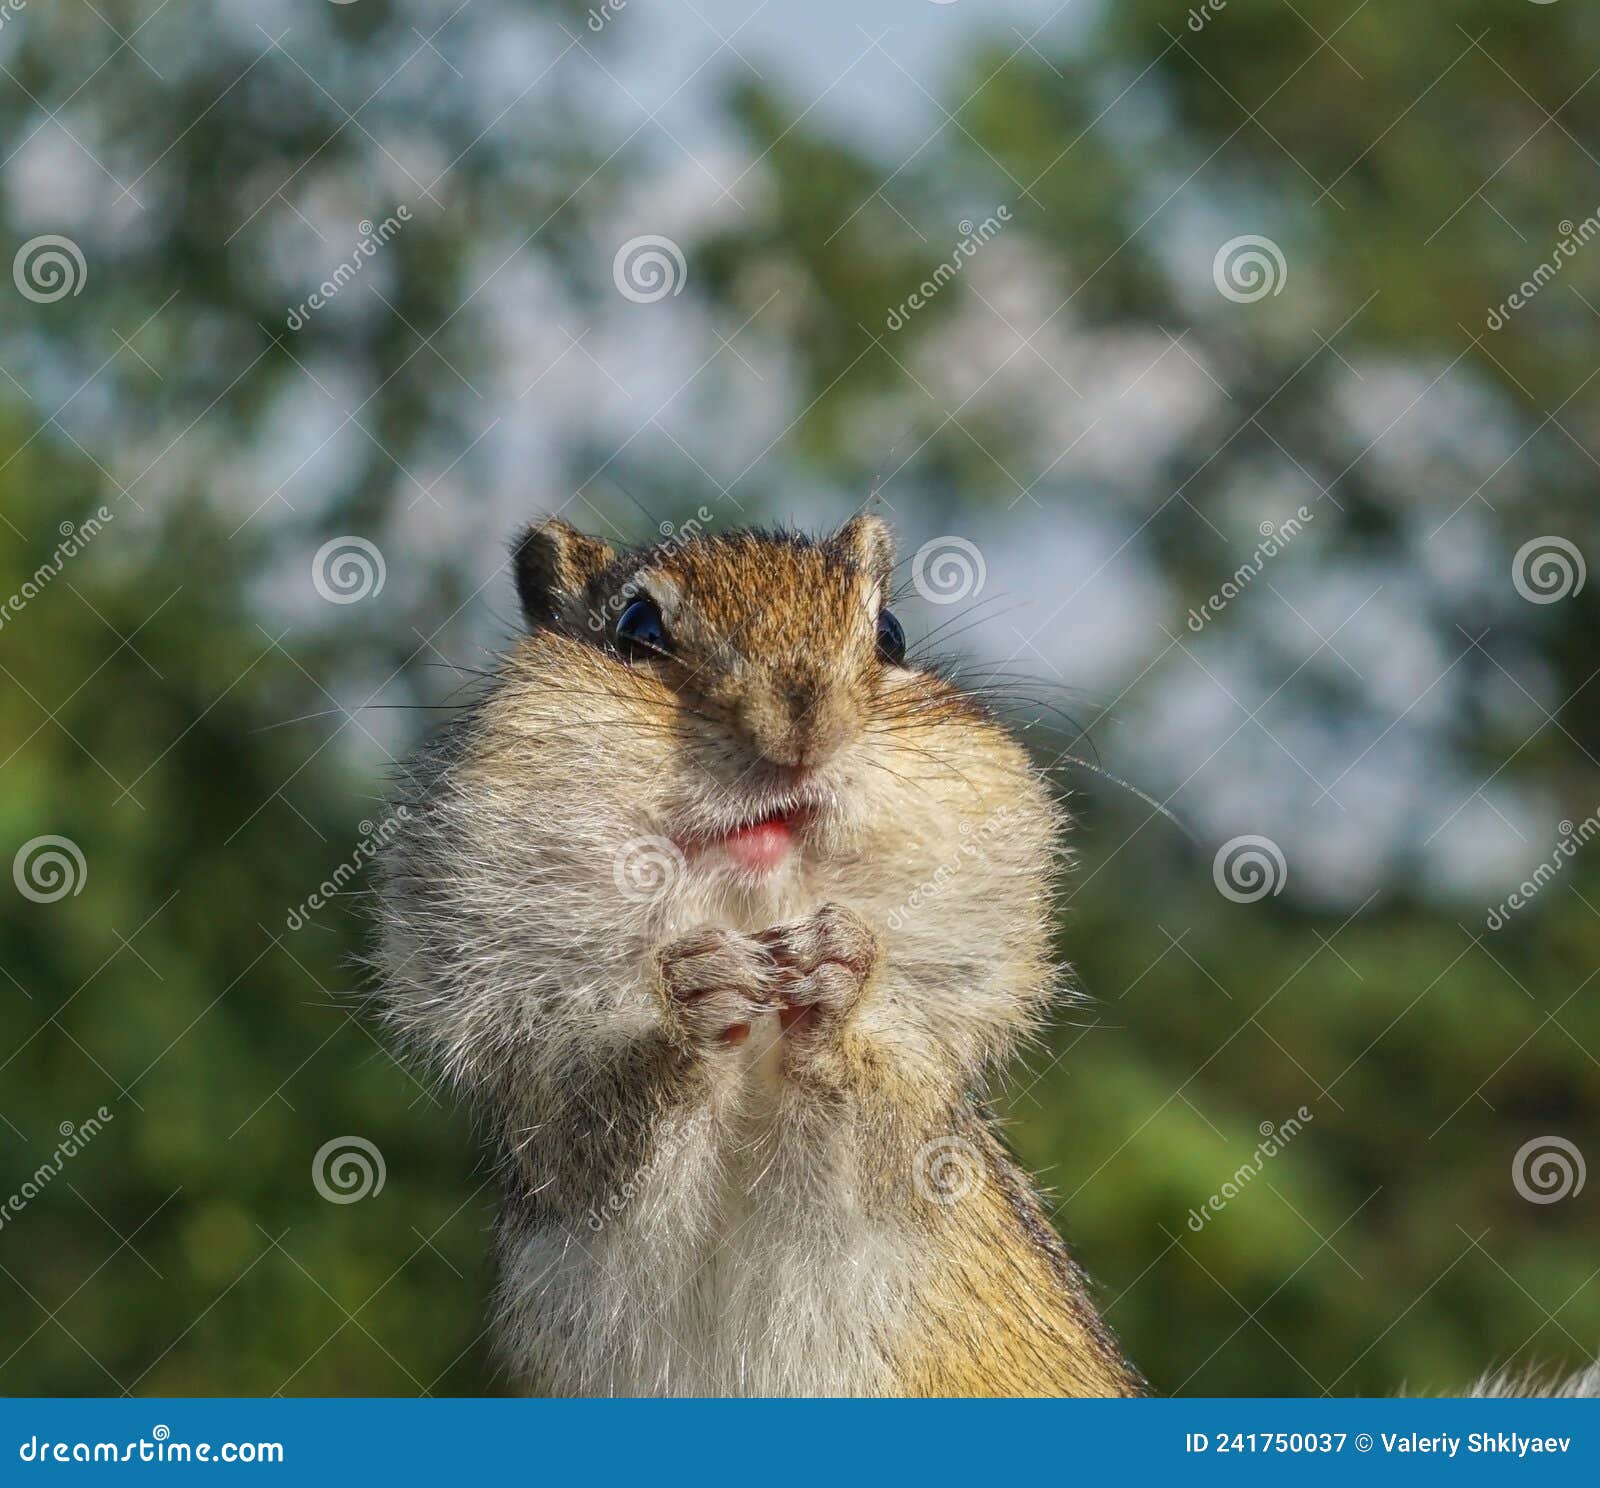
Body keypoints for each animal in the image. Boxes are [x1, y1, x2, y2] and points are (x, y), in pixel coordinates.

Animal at [373, 512, 1142, 1397]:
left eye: (891, 635)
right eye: (637, 629)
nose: (804, 724)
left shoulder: (921, 1130)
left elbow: (877, 1134)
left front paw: (836, 979)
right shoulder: (555, 1119)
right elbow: (613, 1138)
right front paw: (692, 1006)